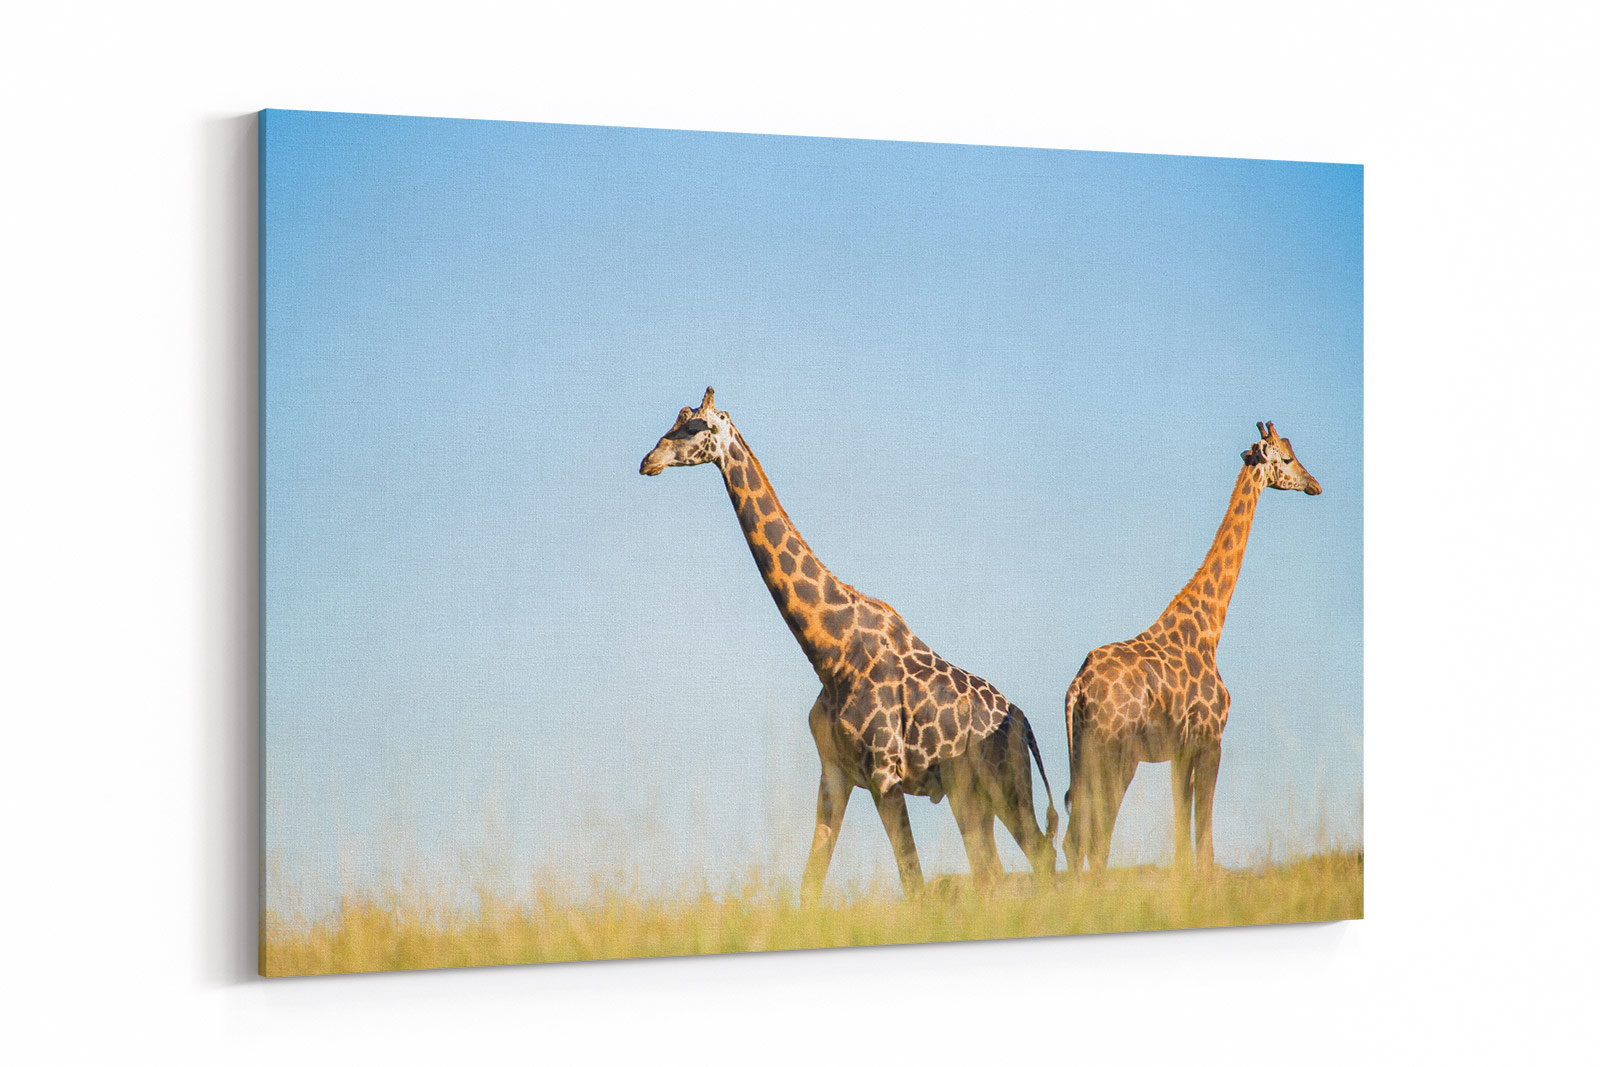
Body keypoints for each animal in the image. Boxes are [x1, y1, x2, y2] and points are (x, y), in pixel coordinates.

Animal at [641, 388, 1058, 903]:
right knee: (991, 870)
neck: (828, 653)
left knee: (1041, 857)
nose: (648, 460)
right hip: (969, 796)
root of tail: (1023, 724)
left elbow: (913, 881)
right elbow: (809, 884)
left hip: (1007, 783)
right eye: (676, 421)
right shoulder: (834, 776)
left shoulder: (884, 775)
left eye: (694, 426)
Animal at [1062, 421, 1322, 874]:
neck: (1209, 630)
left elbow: (1183, 835)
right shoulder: (1210, 739)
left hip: (1085, 756)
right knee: (1095, 833)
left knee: (1076, 833)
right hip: (1117, 753)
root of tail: (1077, 687)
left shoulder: (1179, 752)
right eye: (1287, 459)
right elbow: (1203, 836)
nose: (1315, 485)